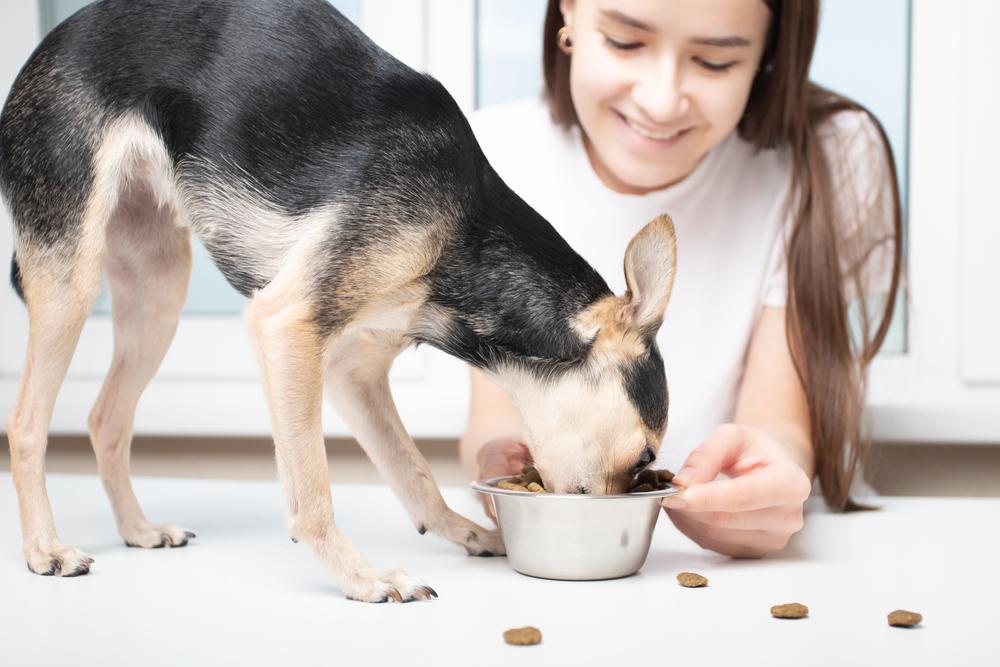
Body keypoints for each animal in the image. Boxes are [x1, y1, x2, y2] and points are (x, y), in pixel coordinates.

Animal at [0, 0, 676, 604]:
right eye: (644, 453)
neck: (464, 228)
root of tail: (49, 46)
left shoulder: (355, 370)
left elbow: (412, 469)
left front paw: (464, 532)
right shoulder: (288, 326)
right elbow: (313, 489)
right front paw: (363, 578)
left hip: (157, 289)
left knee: (105, 418)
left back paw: (138, 530)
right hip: (72, 276)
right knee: (27, 423)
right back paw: (46, 549)